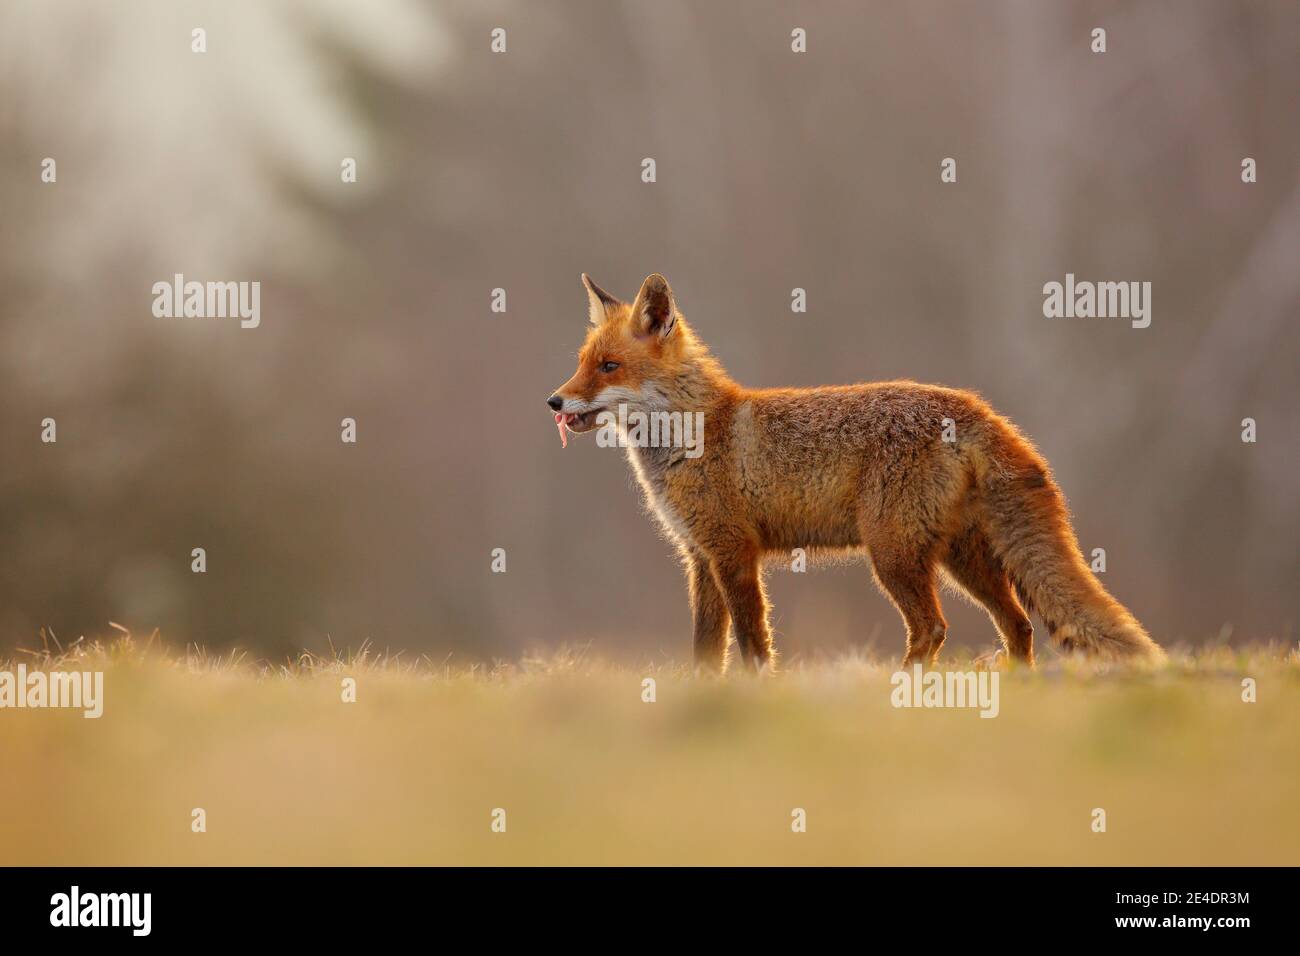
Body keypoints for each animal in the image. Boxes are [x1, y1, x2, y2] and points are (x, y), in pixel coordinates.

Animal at [547, 272, 1165, 673]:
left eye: (609, 367)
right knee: (1019, 625)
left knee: (934, 627)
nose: (553, 401)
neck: (694, 435)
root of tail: (975, 407)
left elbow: (751, 643)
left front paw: (757, 693)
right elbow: (705, 651)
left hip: (891, 552)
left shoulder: (733, 552)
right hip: (960, 557)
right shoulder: (701, 557)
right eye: (581, 364)